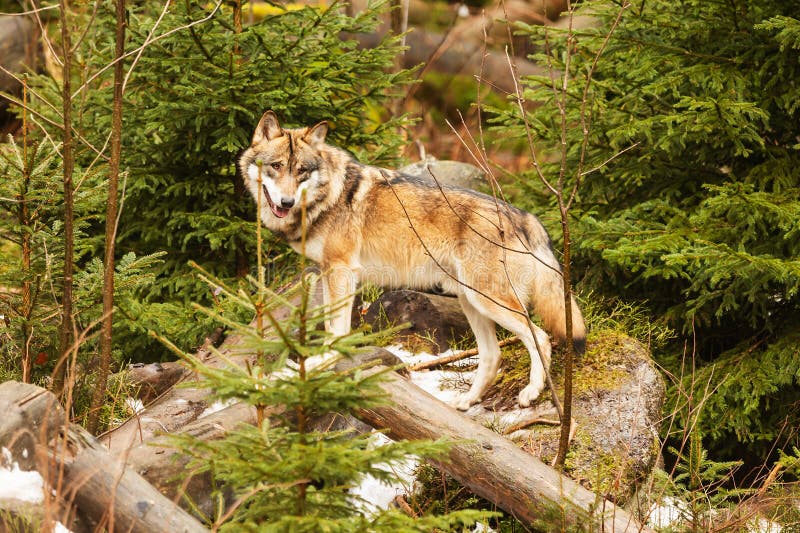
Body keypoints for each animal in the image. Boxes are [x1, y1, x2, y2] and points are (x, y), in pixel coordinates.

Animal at [239, 110, 588, 410]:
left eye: (301, 171)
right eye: (276, 166)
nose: (286, 202)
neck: (328, 197)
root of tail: (527, 218)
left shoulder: (340, 270)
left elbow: (335, 329)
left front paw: (319, 363)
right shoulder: (327, 271)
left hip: (489, 300)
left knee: (540, 336)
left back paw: (531, 392)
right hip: (471, 302)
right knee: (492, 355)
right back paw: (465, 402)